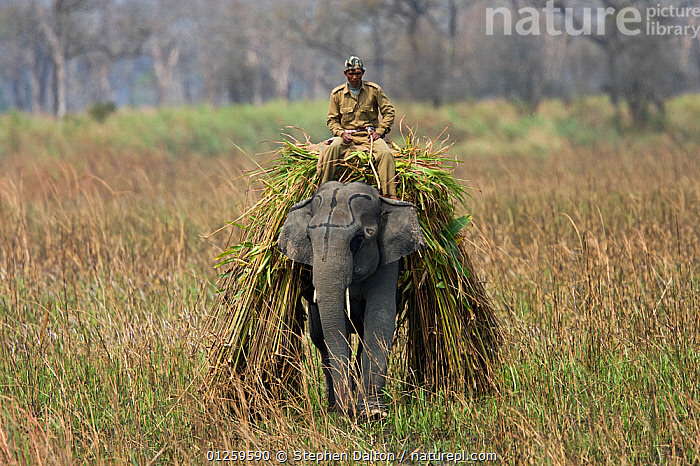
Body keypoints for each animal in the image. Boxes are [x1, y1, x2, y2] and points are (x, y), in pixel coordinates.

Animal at [278, 181, 426, 417]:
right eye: (308, 239)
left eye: (359, 239)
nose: (346, 411)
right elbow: (335, 331)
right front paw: (343, 411)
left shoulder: (388, 258)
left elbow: (380, 319)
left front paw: (373, 413)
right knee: (319, 340)